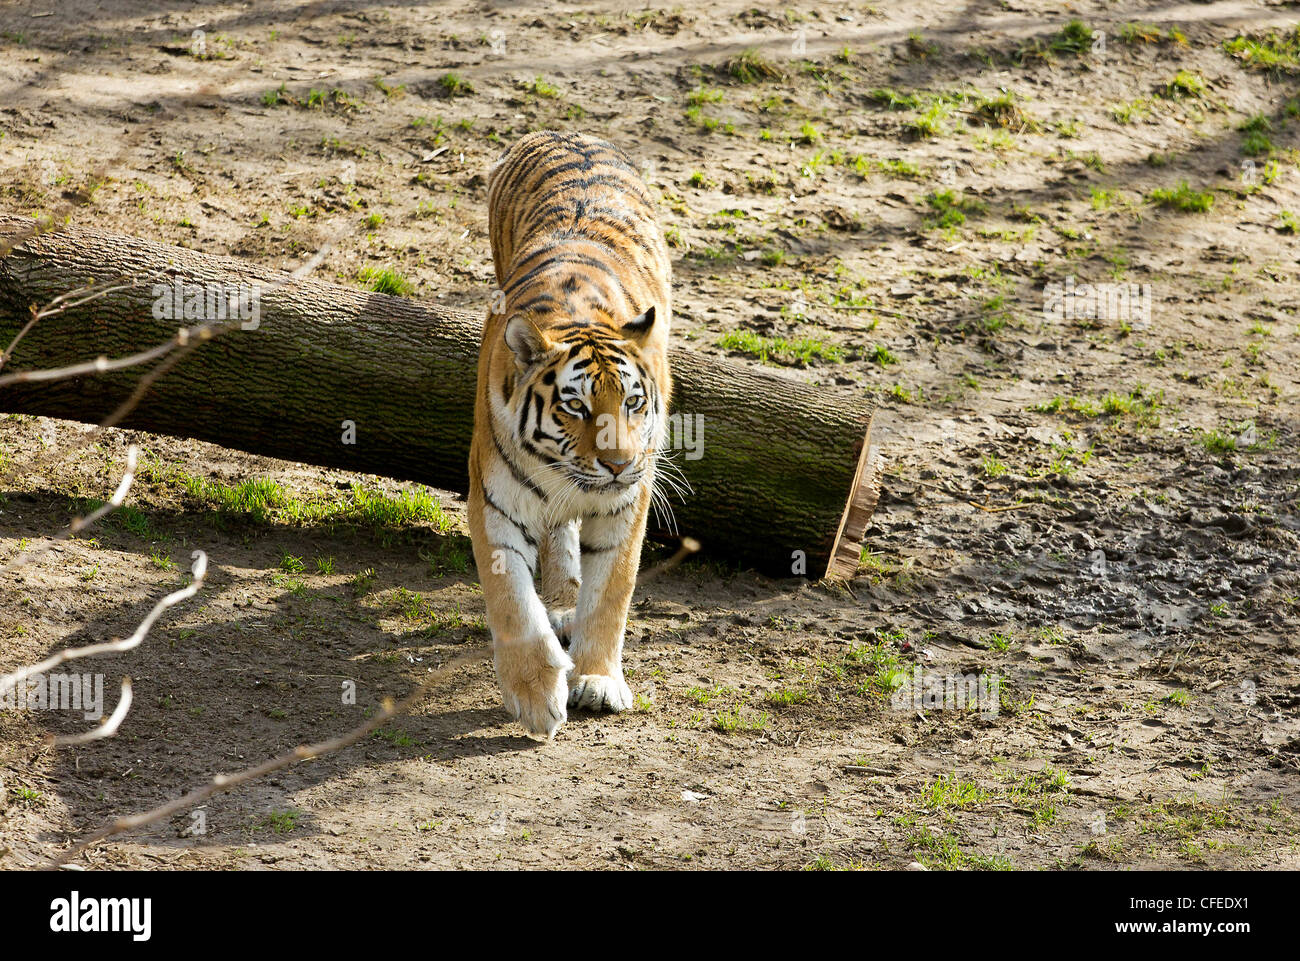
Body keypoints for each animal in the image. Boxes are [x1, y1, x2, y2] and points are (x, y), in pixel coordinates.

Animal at [467, 131, 673, 738]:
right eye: (575, 407)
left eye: (633, 403)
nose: (618, 464)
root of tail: (567, 133)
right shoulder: (493, 504)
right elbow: (512, 603)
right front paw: (537, 697)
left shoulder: (628, 504)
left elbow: (611, 596)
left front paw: (598, 681)